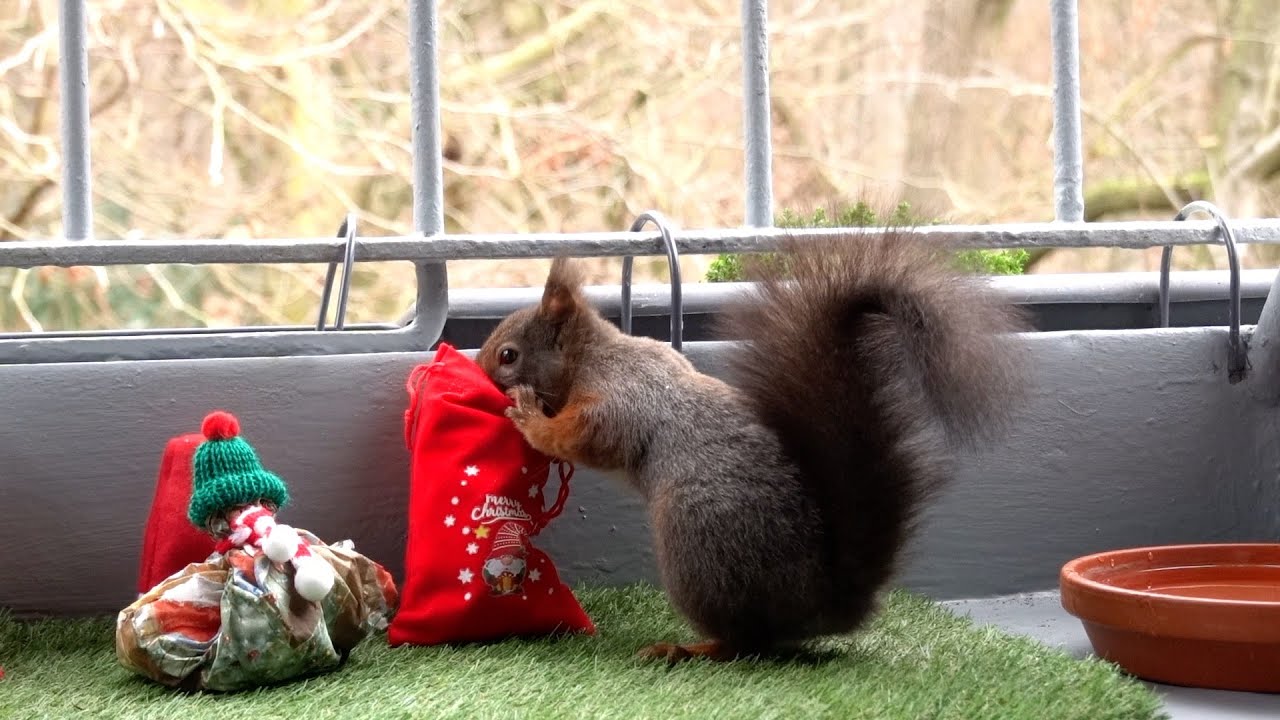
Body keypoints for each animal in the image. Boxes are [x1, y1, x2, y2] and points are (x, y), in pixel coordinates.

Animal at [475, 227, 1029, 663]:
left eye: (508, 355)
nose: (478, 372)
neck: (593, 356)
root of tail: (823, 605)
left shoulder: (620, 398)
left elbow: (585, 437)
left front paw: (529, 417)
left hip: (698, 544)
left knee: (745, 644)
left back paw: (687, 649)